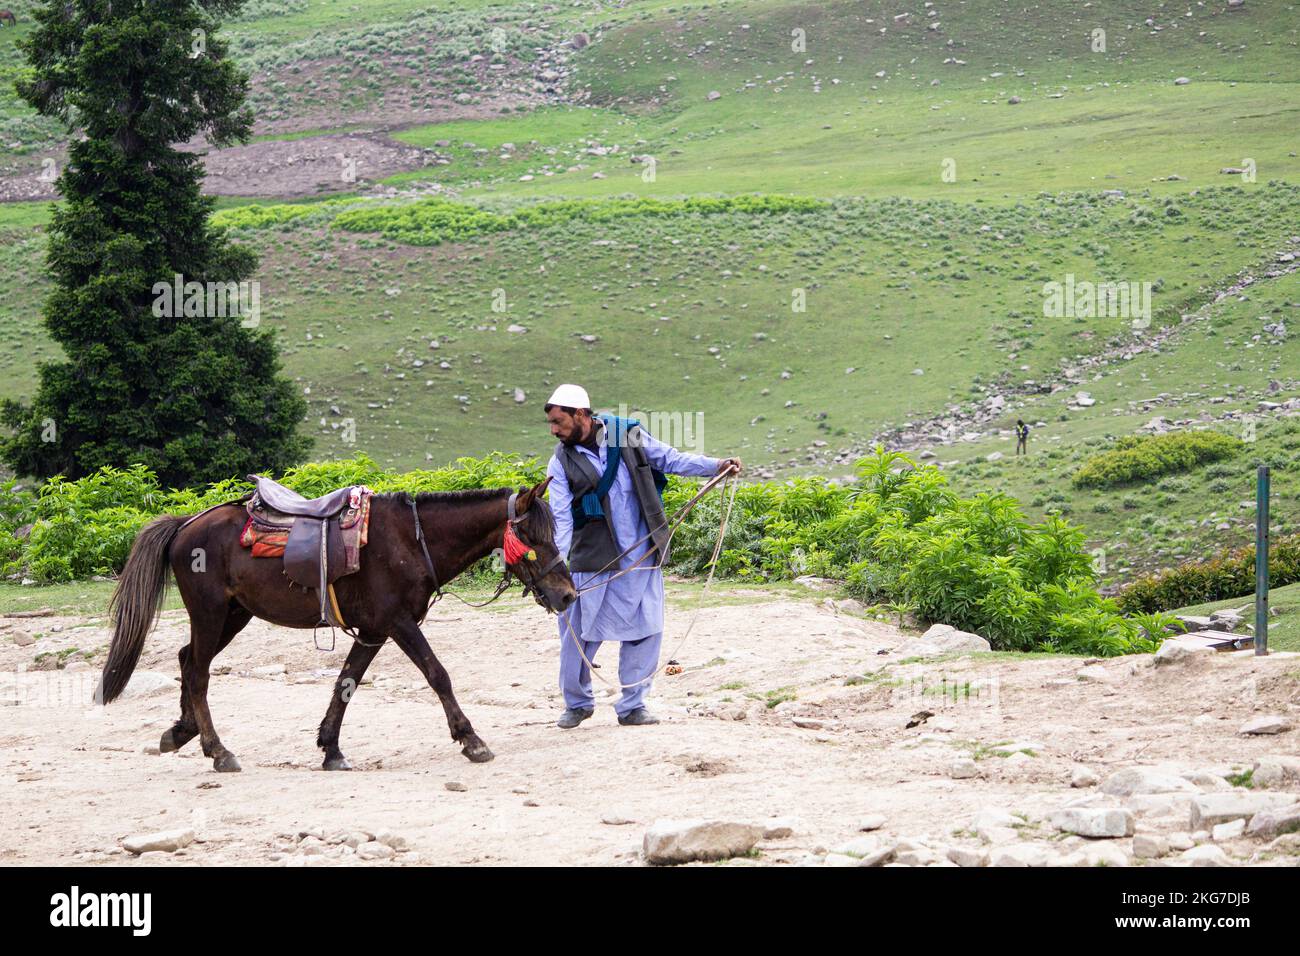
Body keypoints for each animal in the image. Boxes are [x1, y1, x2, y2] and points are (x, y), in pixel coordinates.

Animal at [95, 477, 576, 773]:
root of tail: (186, 525)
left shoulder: (375, 631)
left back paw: (182, 731)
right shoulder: (399, 623)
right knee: (197, 672)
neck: (411, 540)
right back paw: (218, 751)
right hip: (211, 612)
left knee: (187, 659)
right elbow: (437, 674)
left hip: (235, 614)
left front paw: (331, 748)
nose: (568, 594)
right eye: (532, 537)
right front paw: (471, 739)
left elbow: (347, 681)